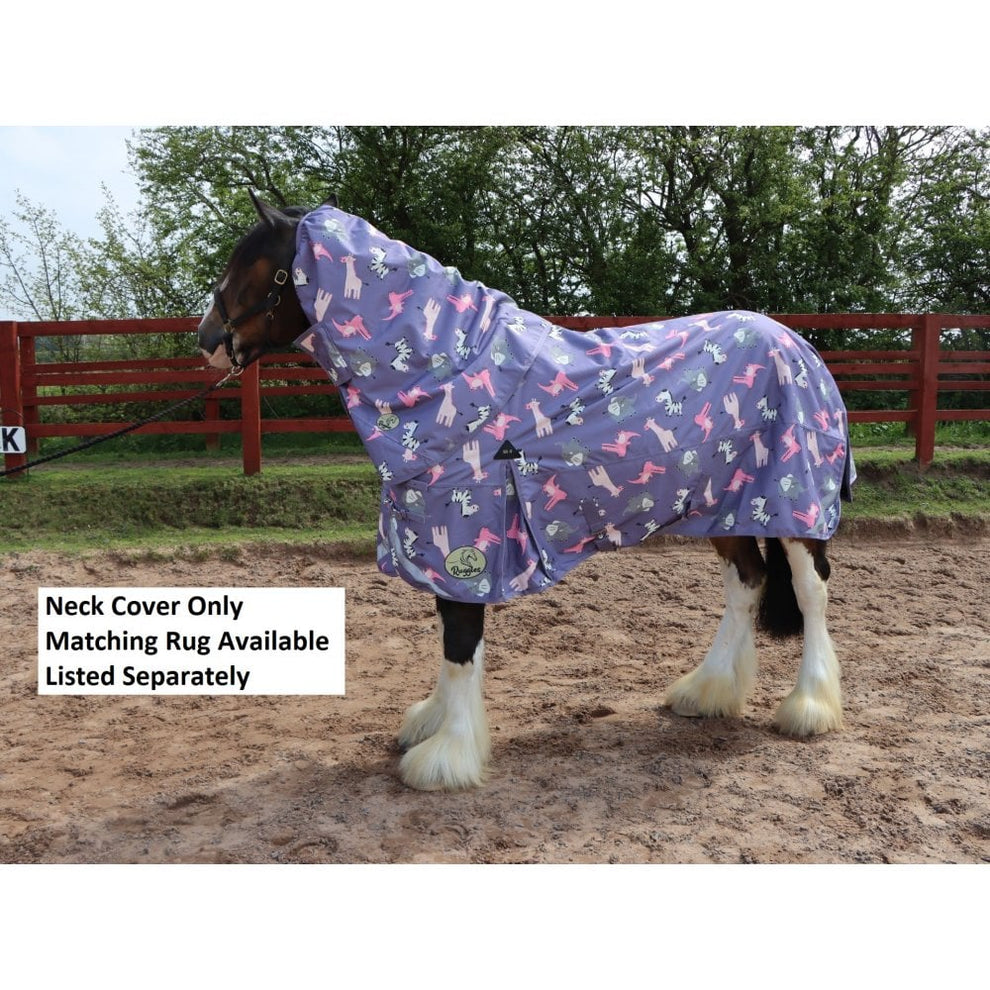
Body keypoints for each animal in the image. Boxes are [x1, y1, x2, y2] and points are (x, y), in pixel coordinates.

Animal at [198, 191, 855, 792]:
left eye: (251, 267)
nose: (205, 341)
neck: (454, 377)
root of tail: (800, 347)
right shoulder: (446, 544)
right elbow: (452, 638)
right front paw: (433, 723)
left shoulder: (466, 543)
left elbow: (460, 641)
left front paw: (447, 757)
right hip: (729, 508)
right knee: (746, 584)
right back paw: (707, 690)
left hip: (794, 507)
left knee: (811, 591)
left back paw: (808, 707)